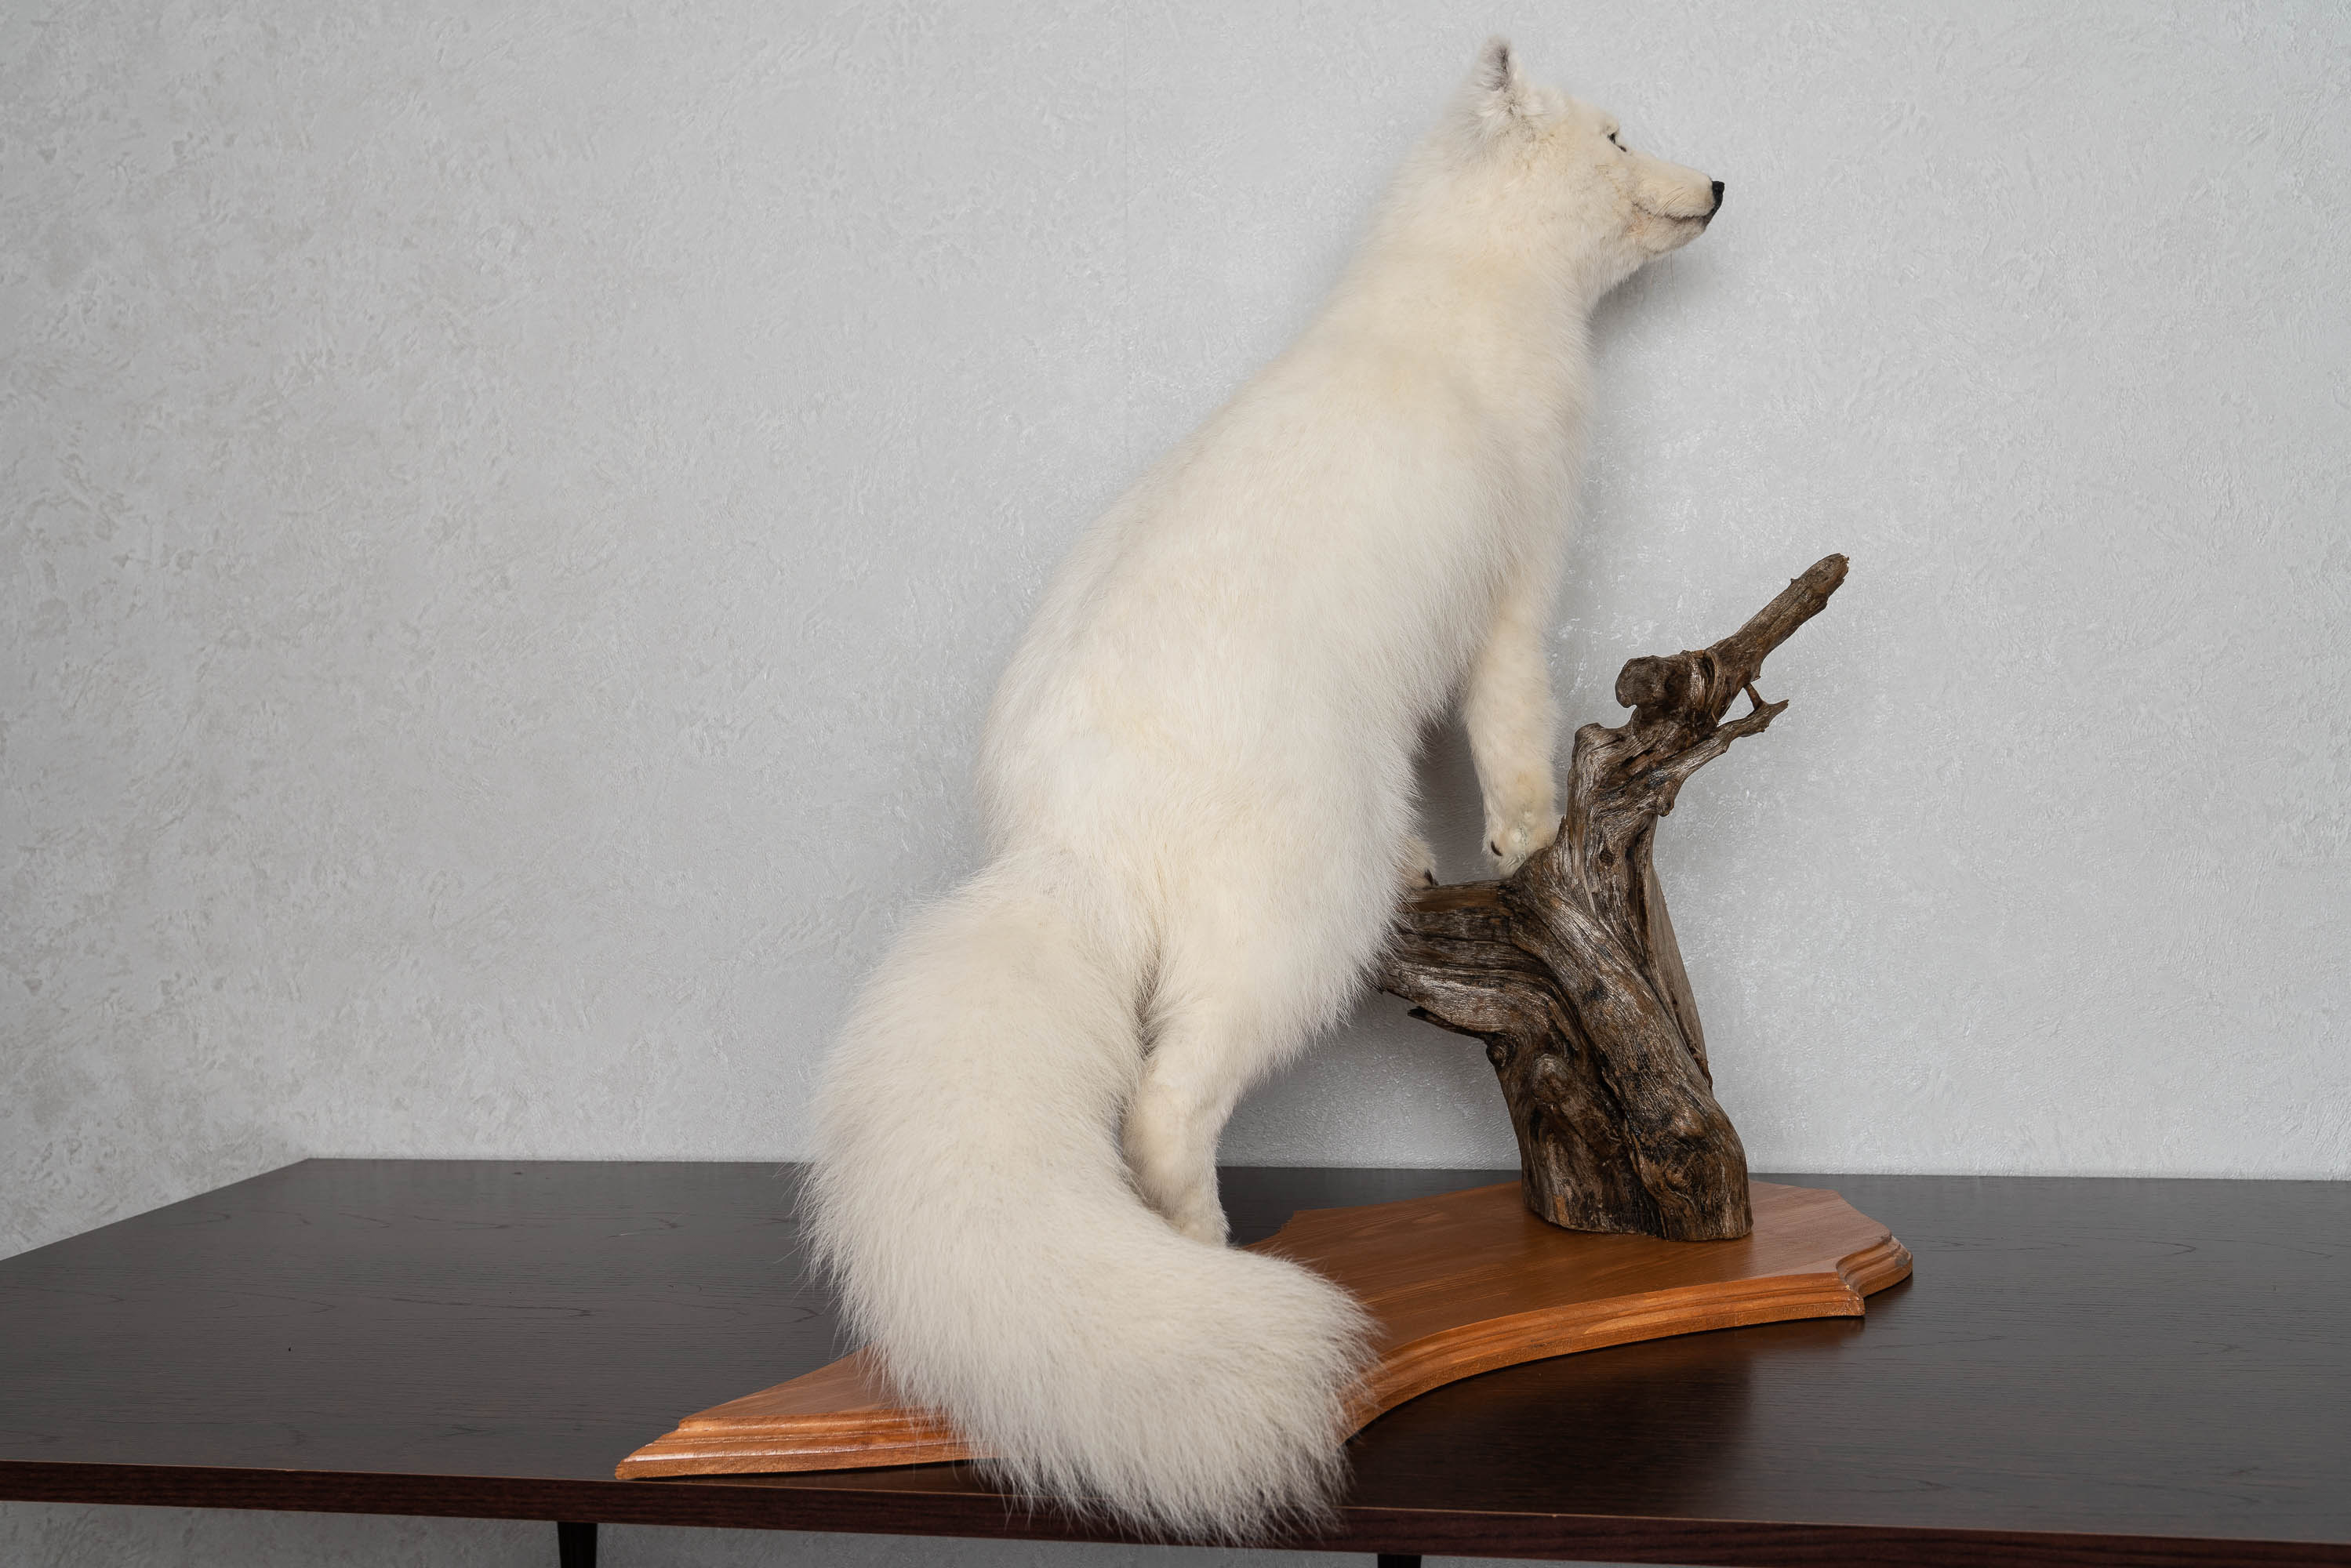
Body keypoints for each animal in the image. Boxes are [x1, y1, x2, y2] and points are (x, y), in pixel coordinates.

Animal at [805, 38, 1722, 1541]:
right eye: (1615, 135)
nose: (1715, 183)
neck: (1457, 299)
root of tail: (1071, 835)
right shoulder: (1516, 581)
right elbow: (1511, 727)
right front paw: (1524, 831)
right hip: (1295, 918)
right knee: (1162, 1103)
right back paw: (1211, 1248)